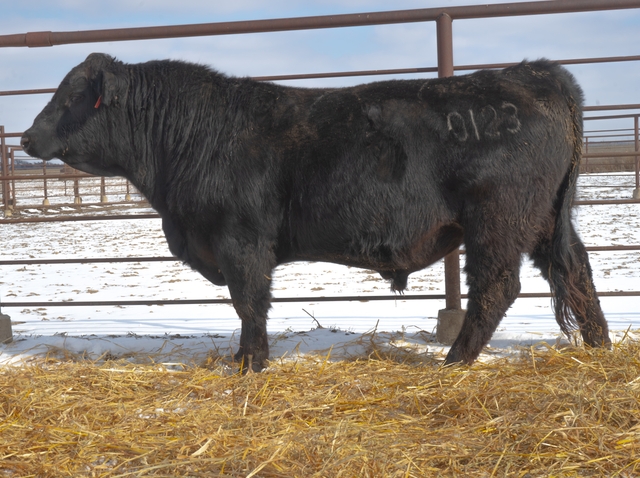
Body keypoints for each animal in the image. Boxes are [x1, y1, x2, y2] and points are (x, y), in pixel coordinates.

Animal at [21, 53, 611, 372]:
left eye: (72, 96)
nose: (26, 137)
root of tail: (533, 74)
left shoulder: (241, 241)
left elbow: (250, 303)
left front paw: (249, 365)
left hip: (498, 221)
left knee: (496, 288)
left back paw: (455, 363)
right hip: (544, 222)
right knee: (575, 271)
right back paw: (602, 348)